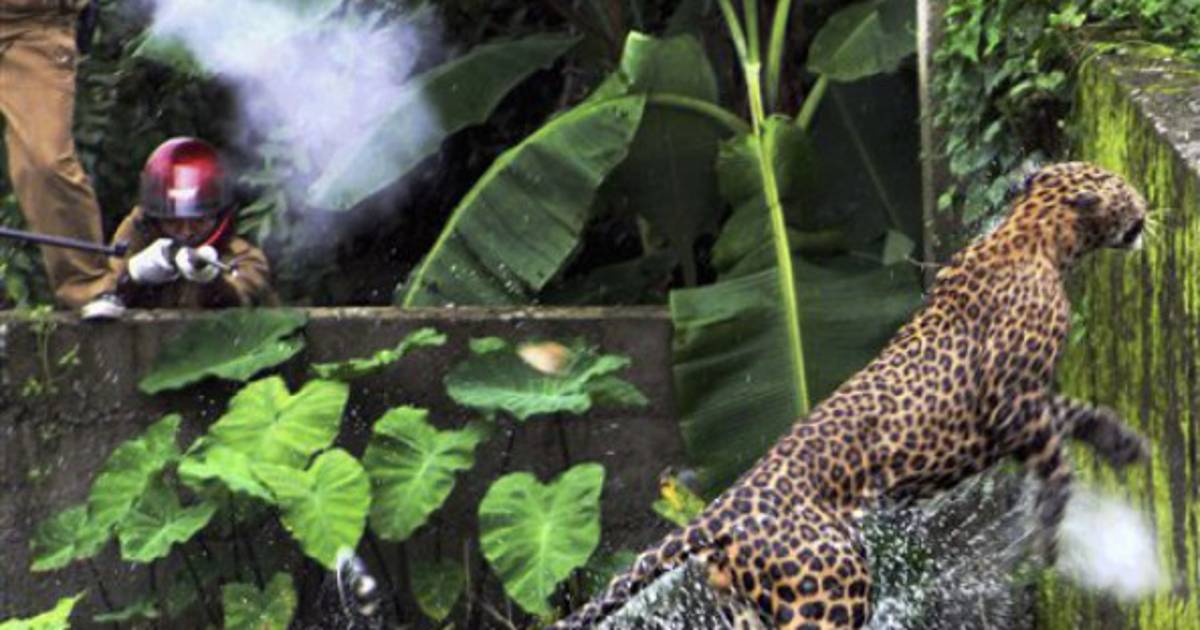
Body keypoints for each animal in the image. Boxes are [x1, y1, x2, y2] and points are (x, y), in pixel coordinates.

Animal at [551, 162, 1152, 630]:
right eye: (1121, 186)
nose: (1147, 203)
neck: (1034, 237)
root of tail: (718, 512)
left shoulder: (1027, 399)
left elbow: (1073, 412)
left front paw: (1122, 443)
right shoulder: (1010, 402)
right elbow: (1055, 461)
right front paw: (1050, 535)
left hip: (742, 604)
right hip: (831, 588)